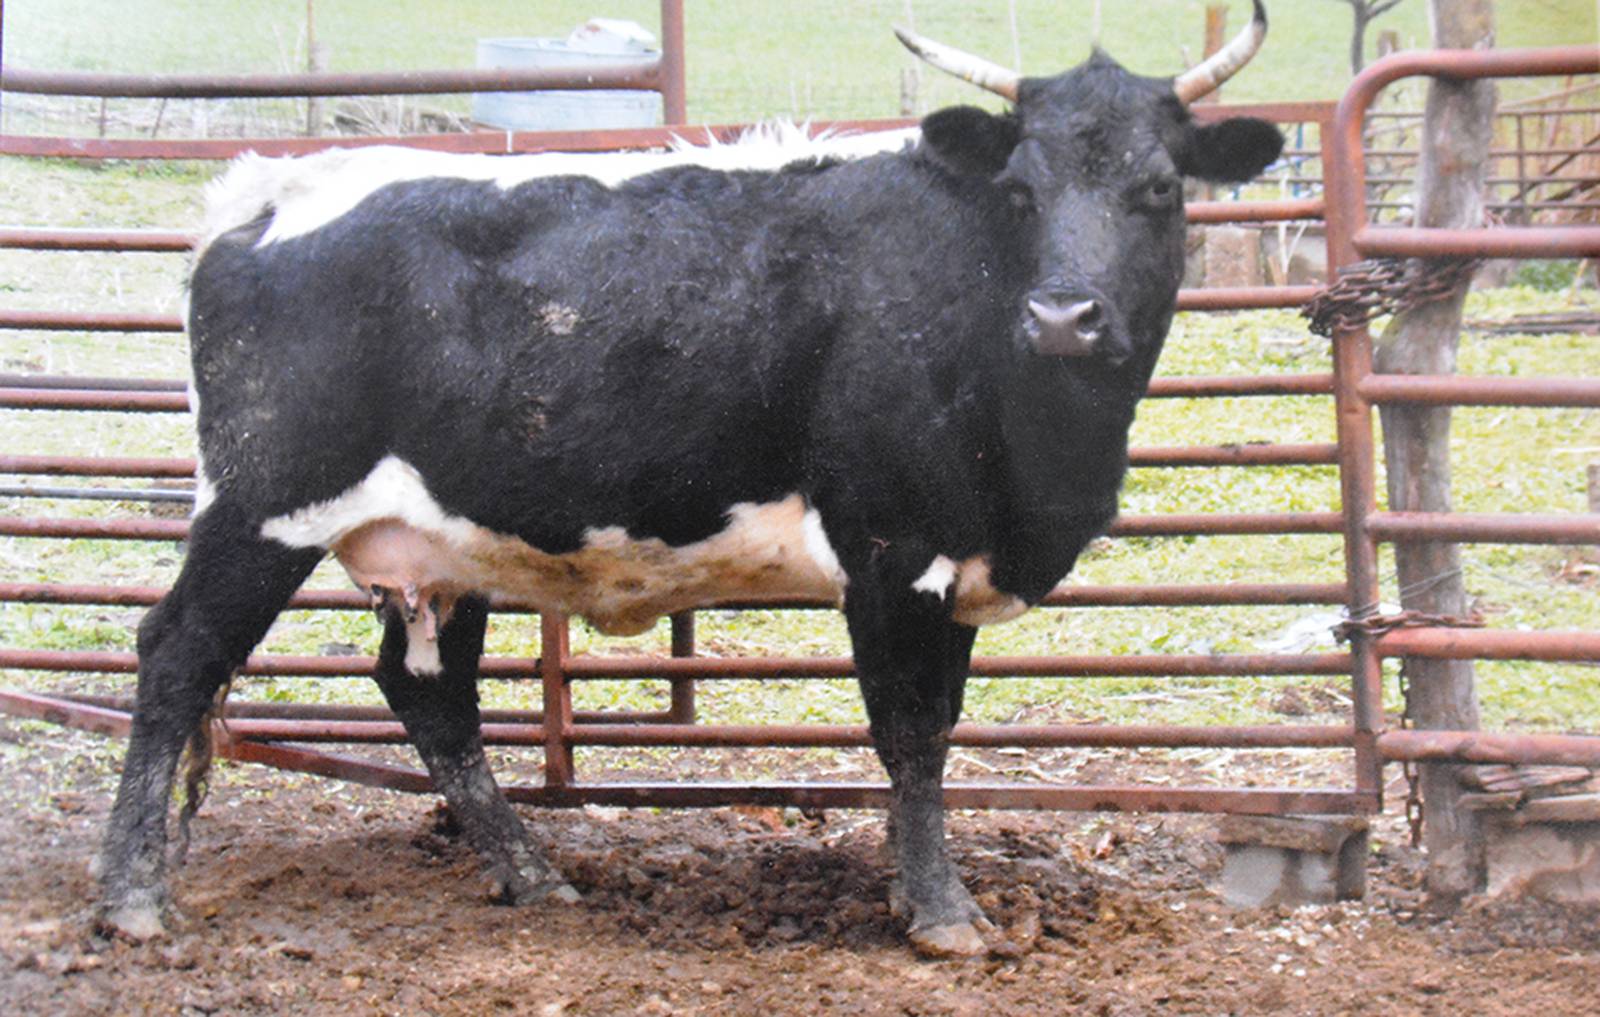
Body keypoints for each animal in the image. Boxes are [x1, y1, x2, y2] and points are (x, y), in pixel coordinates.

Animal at [96, 3, 1283, 957]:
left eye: (1158, 186)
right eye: (1022, 190)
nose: (1063, 316)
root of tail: (270, 190)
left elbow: (935, 732)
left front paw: (921, 897)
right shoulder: (893, 550)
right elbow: (909, 734)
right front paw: (942, 914)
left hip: (439, 543)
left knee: (429, 696)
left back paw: (533, 873)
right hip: (263, 505)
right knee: (176, 655)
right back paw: (132, 897)